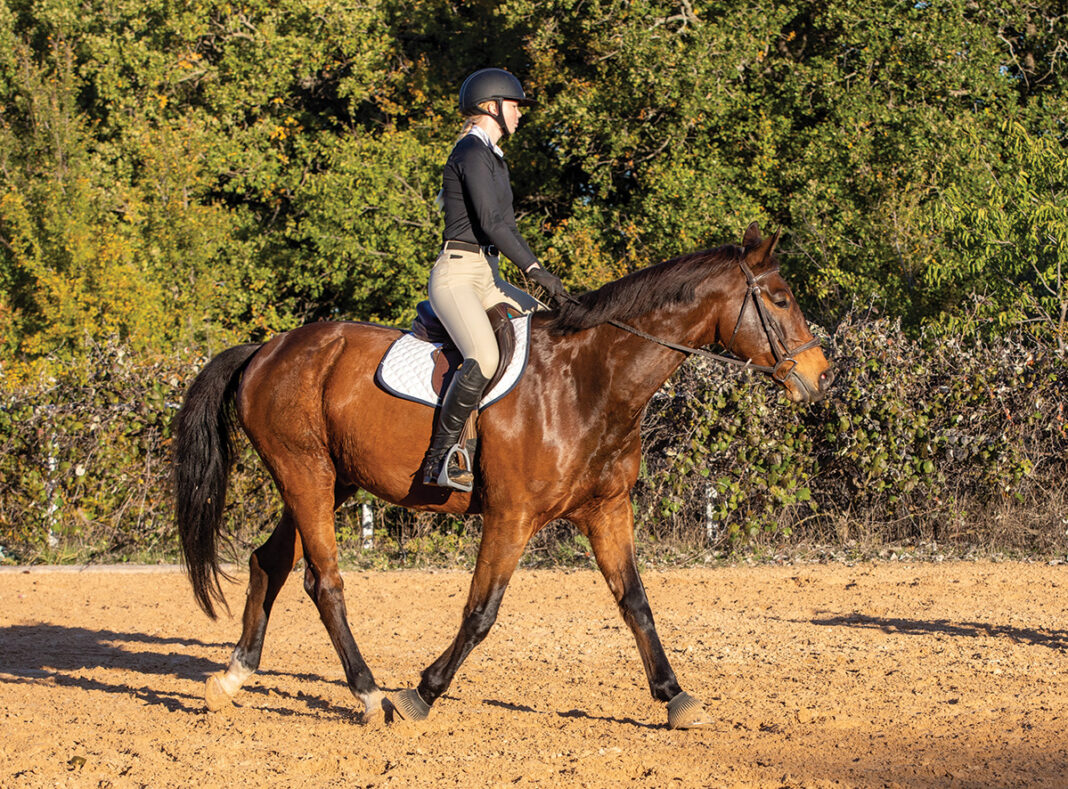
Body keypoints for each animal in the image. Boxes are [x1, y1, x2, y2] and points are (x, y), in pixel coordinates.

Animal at [173, 222, 833, 729]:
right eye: (778, 299)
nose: (821, 374)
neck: (590, 381)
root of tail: (266, 349)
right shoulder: (512, 516)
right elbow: (480, 612)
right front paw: (422, 692)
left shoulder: (606, 509)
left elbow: (635, 602)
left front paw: (676, 698)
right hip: (305, 472)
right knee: (324, 582)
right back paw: (370, 696)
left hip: (330, 481)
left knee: (270, 563)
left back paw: (231, 679)